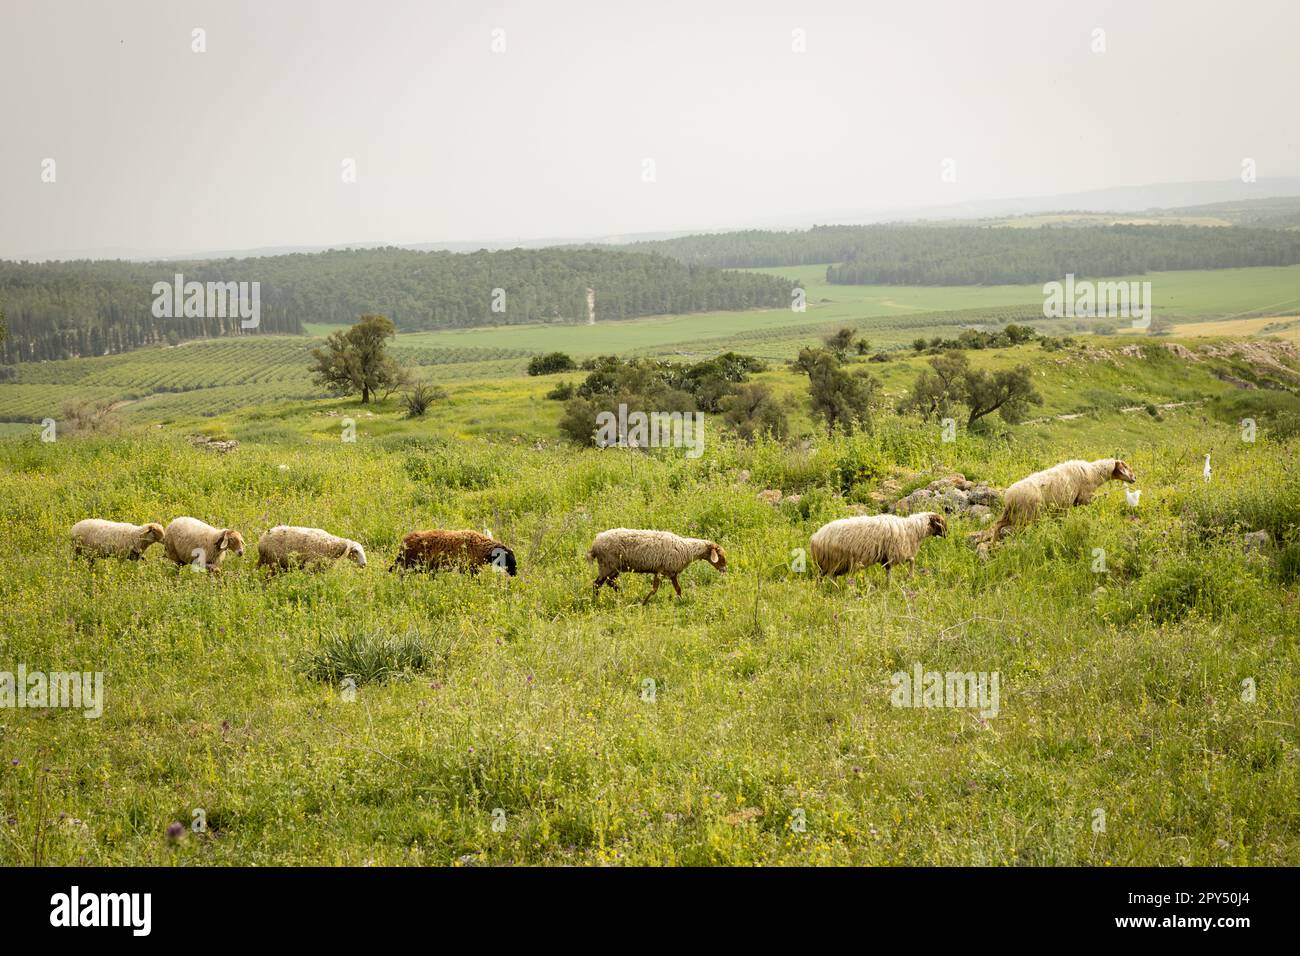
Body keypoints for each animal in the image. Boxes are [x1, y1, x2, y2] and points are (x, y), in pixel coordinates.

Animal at [587, 528, 727, 604]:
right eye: (720, 556)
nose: (725, 571)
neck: (687, 549)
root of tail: (595, 544)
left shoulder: (671, 572)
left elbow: (678, 589)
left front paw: (680, 600)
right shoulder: (661, 571)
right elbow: (654, 589)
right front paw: (643, 603)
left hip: (614, 567)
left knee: (609, 582)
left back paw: (622, 594)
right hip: (607, 565)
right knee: (597, 584)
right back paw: (597, 601)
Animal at [810, 512, 947, 582]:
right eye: (941, 522)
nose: (947, 534)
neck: (913, 529)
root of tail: (815, 537)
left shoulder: (887, 557)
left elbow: (889, 571)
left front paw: (888, 585)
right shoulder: (897, 553)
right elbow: (912, 560)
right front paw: (910, 576)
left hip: (827, 564)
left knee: (822, 578)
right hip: (832, 561)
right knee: (829, 578)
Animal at [990, 458, 1136, 542]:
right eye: (1126, 467)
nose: (1134, 478)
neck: (1094, 473)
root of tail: (1009, 499)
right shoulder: (1084, 497)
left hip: (1012, 515)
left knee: (997, 526)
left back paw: (993, 544)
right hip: (1026, 516)